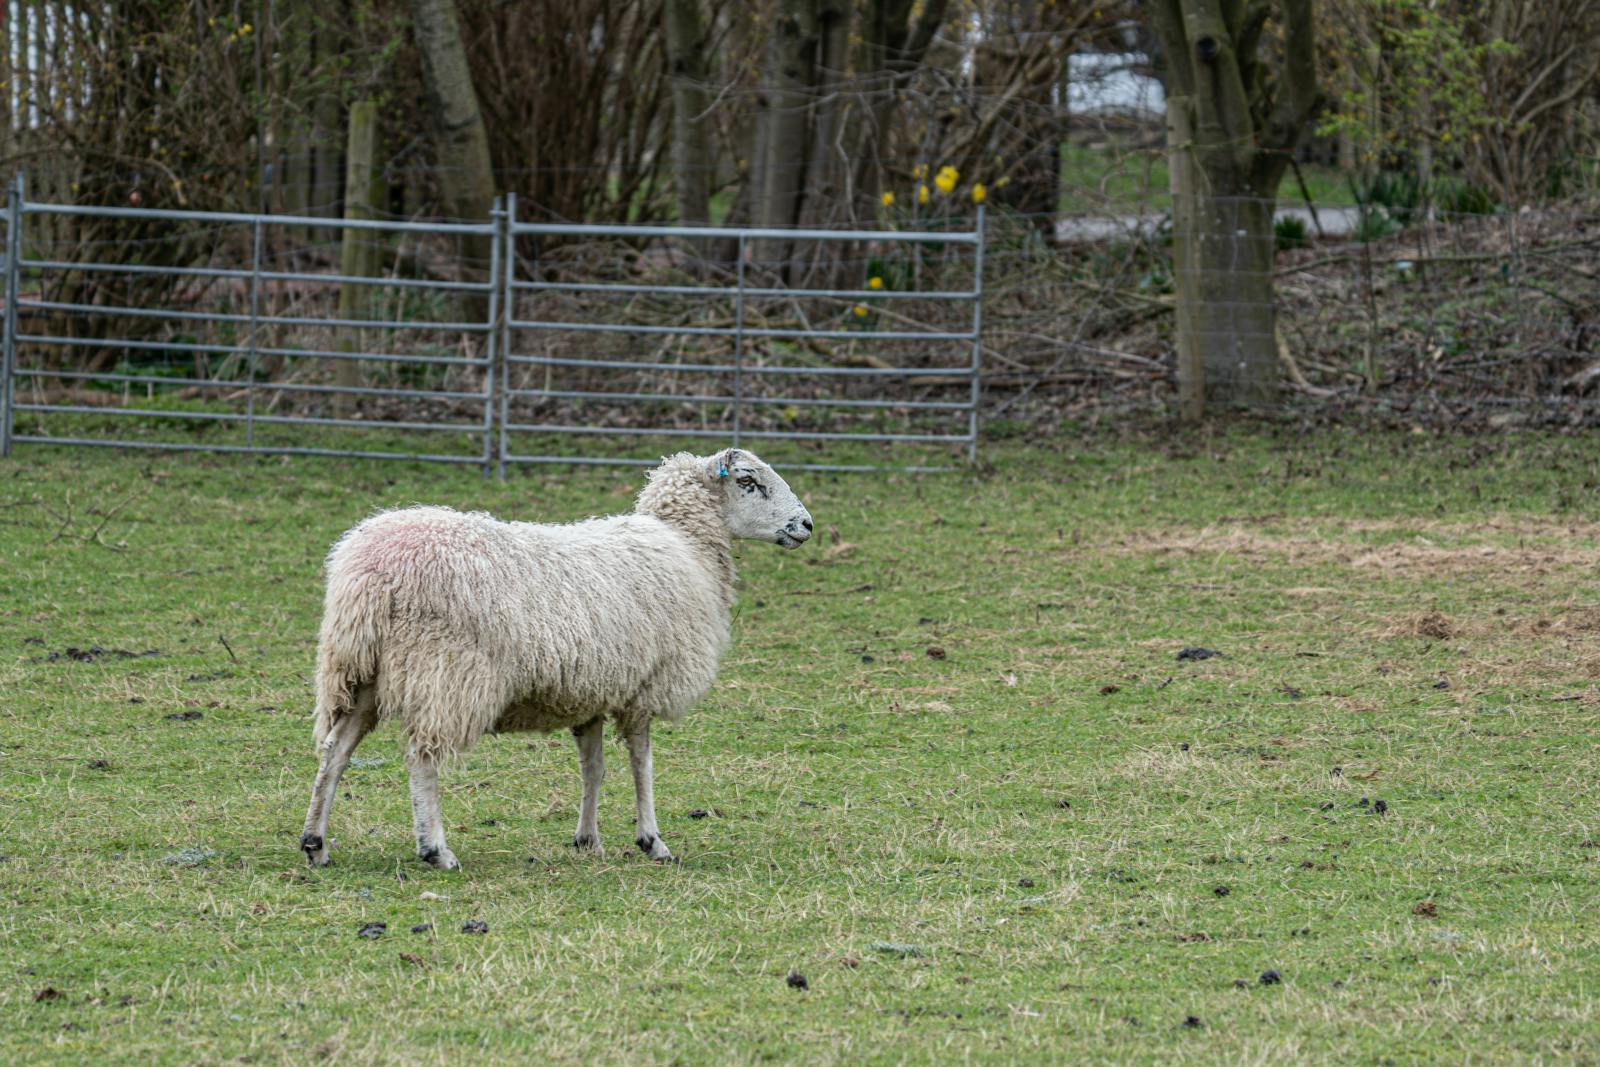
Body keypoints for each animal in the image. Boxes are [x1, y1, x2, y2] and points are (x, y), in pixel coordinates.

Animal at [298, 447, 812, 869]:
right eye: (749, 481)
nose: (806, 525)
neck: (686, 546)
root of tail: (369, 571)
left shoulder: (592, 691)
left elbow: (594, 766)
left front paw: (588, 840)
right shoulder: (645, 686)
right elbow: (642, 764)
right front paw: (653, 840)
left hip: (357, 672)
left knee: (335, 751)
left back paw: (315, 843)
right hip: (446, 672)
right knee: (421, 756)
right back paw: (435, 849)